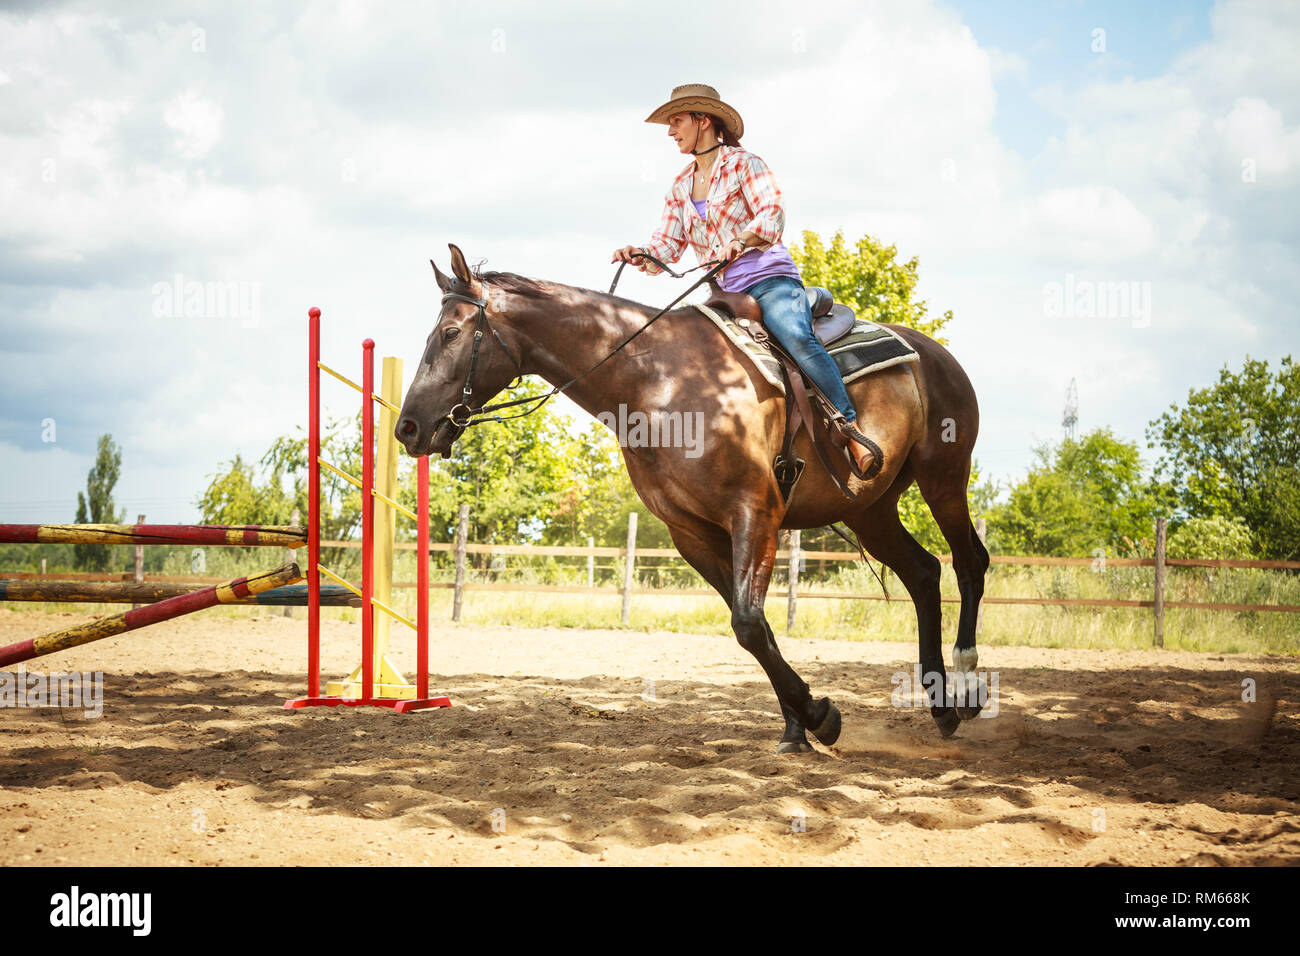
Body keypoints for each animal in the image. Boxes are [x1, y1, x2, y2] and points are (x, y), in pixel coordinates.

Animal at [396, 243, 990, 754]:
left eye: (450, 332)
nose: (407, 428)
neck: (656, 382)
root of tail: (934, 354)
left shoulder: (756, 513)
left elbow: (748, 623)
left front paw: (820, 717)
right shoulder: (691, 533)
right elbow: (756, 627)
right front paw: (798, 726)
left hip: (944, 478)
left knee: (969, 562)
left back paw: (966, 681)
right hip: (870, 508)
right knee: (923, 573)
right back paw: (940, 706)